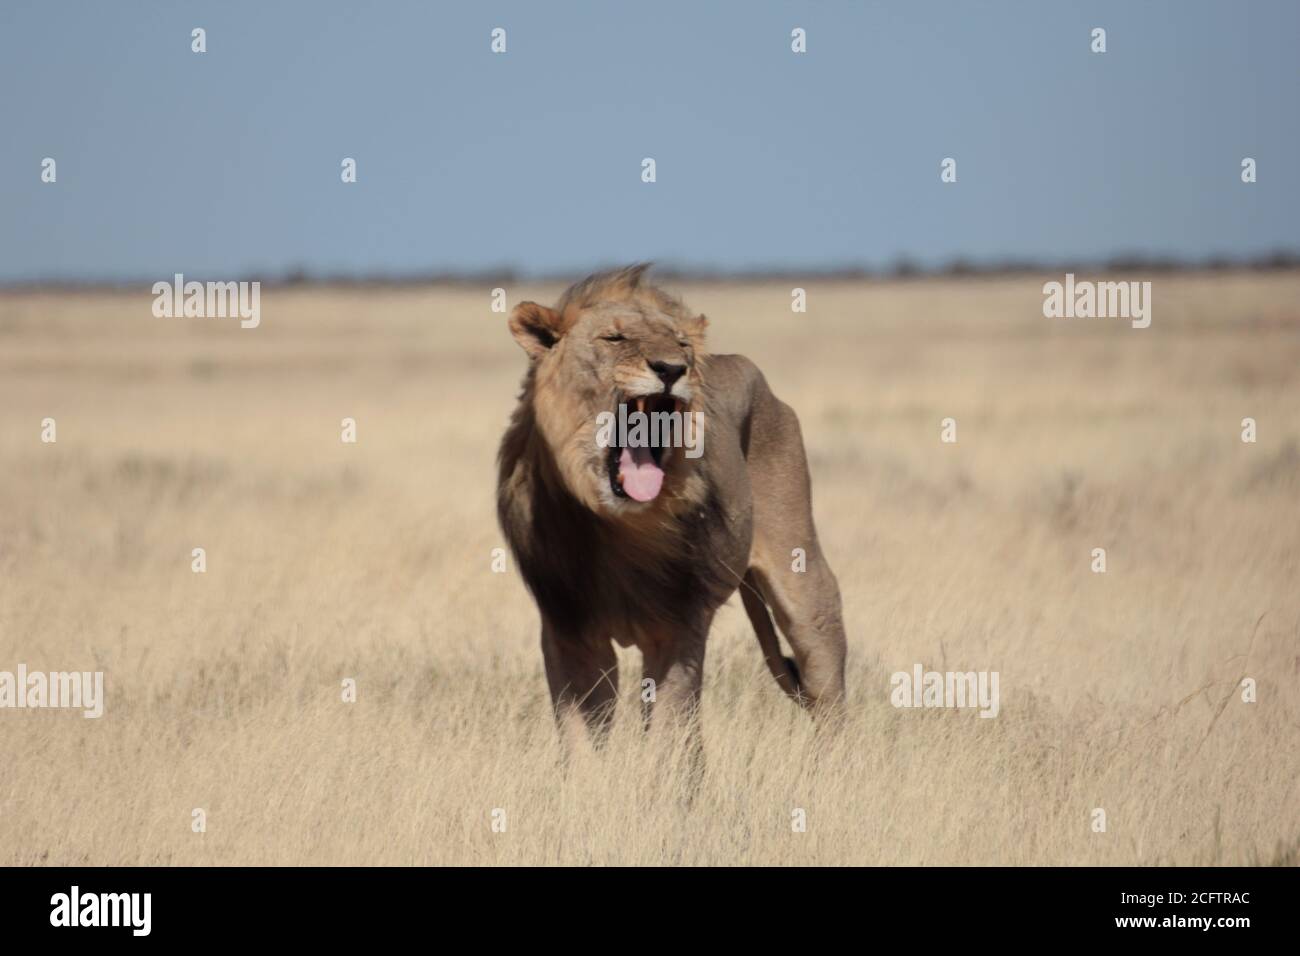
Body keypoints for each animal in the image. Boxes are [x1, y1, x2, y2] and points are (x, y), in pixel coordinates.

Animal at [497, 265, 846, 752]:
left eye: (681, 344)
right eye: (614, 338)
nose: (671, 369)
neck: (620, 528)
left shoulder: (678, 631)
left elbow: (669, 736)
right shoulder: (569, 631)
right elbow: (582, 740)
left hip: (802, 578)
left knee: (824, 686)